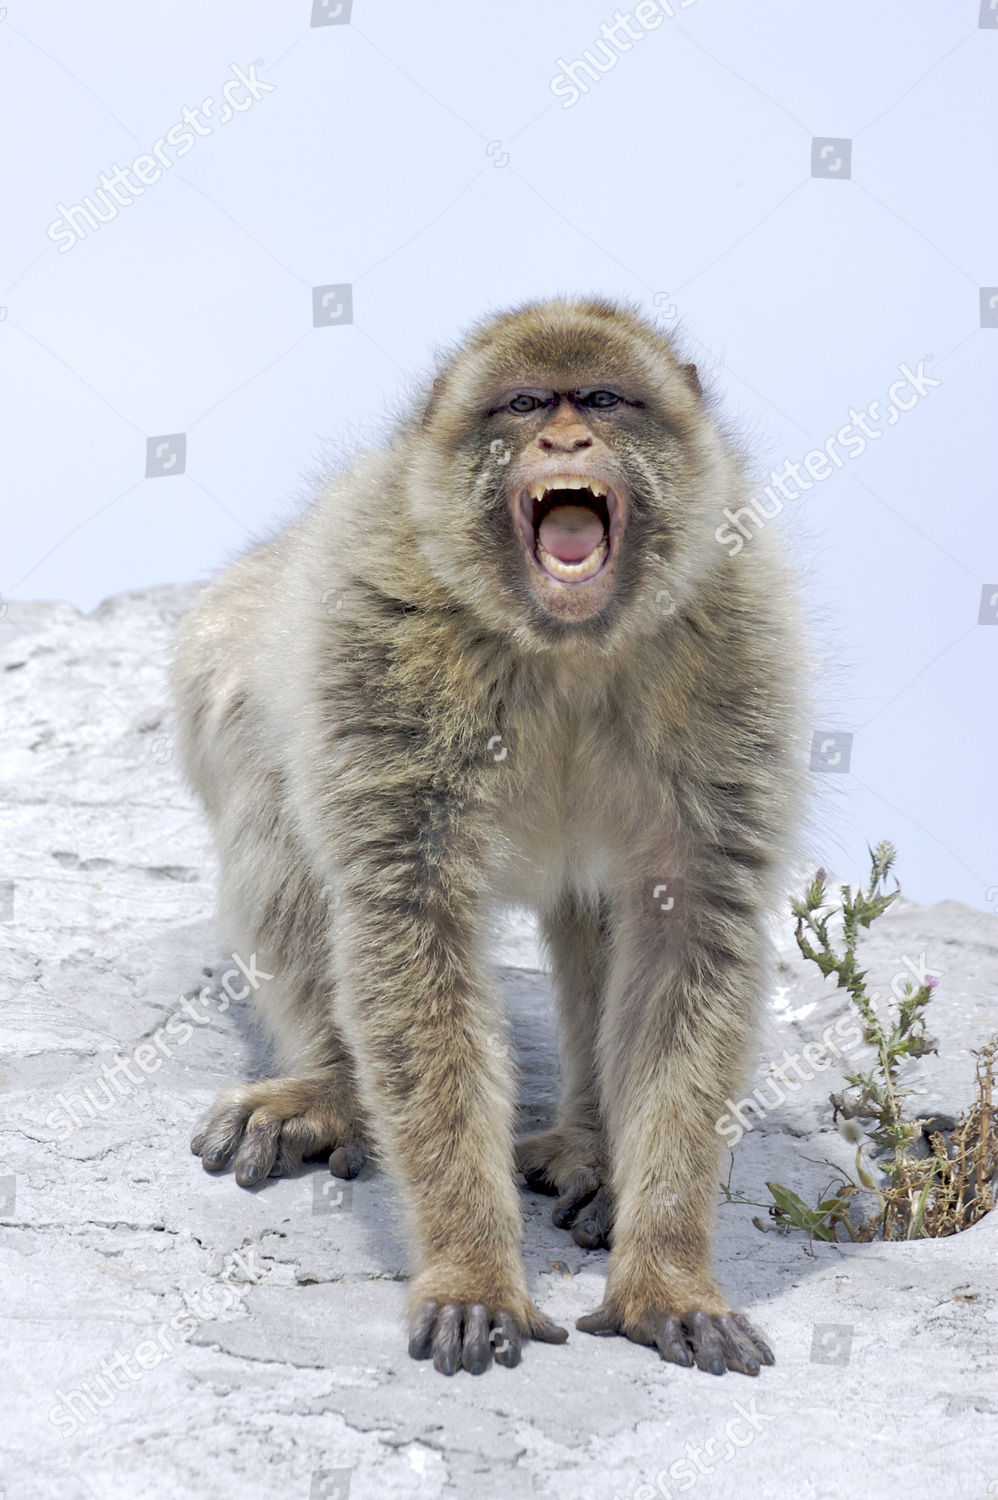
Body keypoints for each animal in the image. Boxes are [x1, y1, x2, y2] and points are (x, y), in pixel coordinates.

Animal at [171, 296, 806, 1379]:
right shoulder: (379, 633)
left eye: (604, 400)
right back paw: (332, 1089)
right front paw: (472, 1269)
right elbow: (406, 917)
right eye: (523, 405)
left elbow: (689, 924)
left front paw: (665, 1274)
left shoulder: (735, 641)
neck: (565, 648)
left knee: (599, 910)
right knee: (273, 801)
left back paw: (592, 1146)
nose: (566, 440)